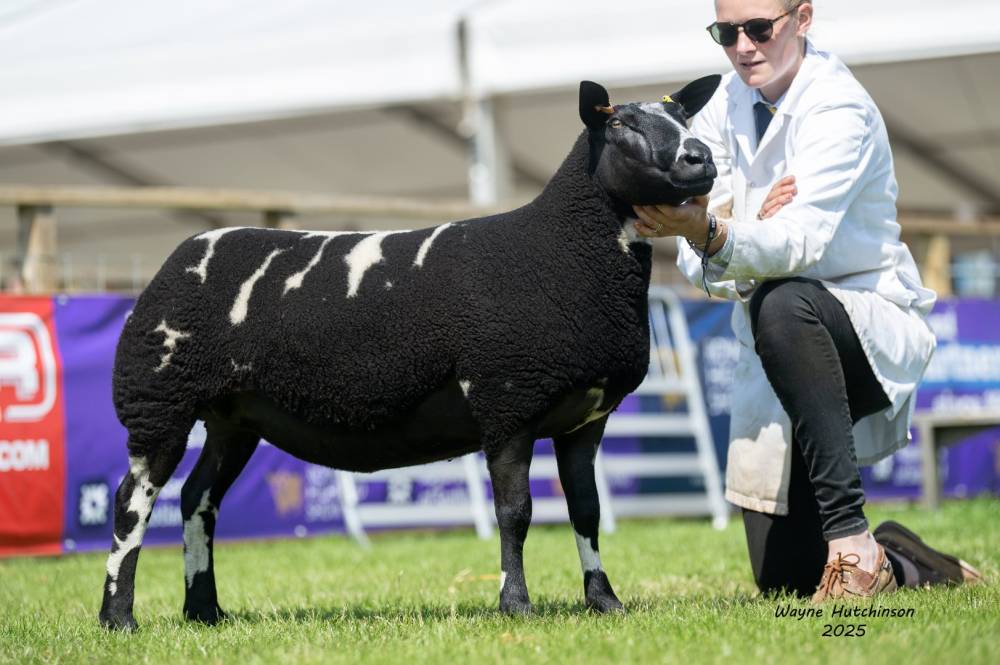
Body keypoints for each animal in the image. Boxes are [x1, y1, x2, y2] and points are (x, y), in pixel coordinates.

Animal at [98, 75, 721, 631]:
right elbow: (515, 512)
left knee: (198, 500)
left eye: (684, 117)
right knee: (132, 501)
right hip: (158, 401)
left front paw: (604, 602)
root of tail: (182, 254)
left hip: (233, 417)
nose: (701, 159)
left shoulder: (584, 419)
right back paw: (118, 617)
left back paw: (204, 611)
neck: (564, 248)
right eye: (620, 124)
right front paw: (516, 605)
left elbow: (586, 510)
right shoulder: (506, 400)